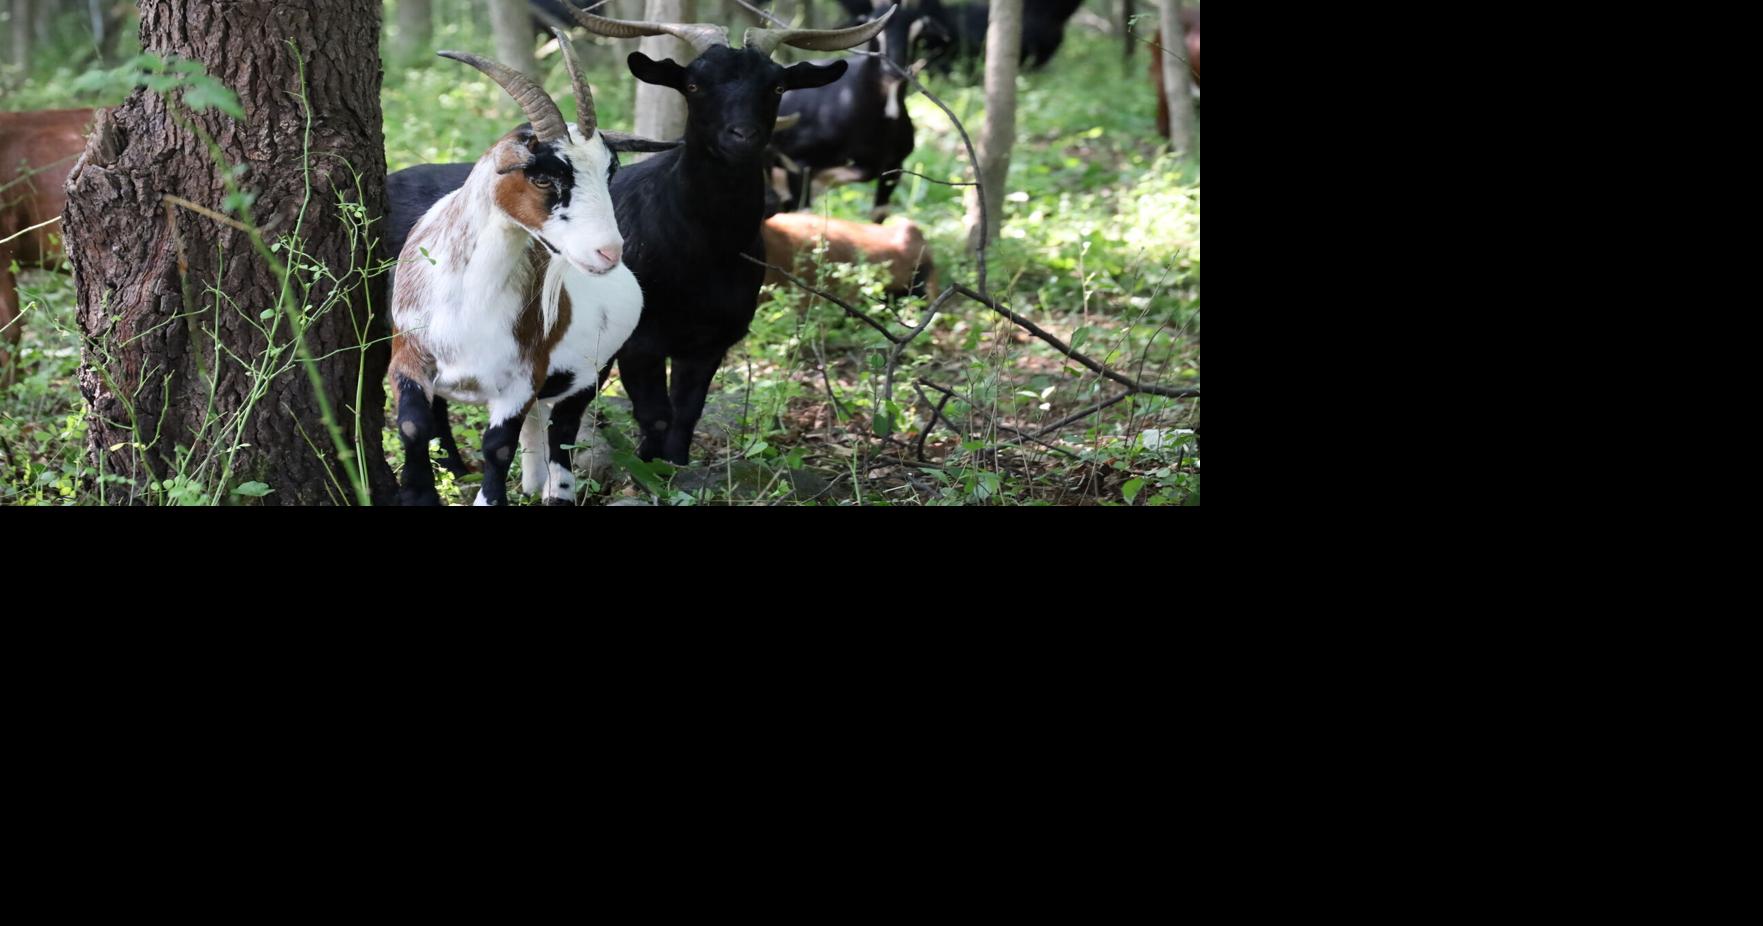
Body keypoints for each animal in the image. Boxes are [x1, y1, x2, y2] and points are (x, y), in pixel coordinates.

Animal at [390, 39, 671, 506]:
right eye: (541, 177)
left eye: (610, 172)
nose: (608, 252)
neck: (468, 302)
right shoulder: (410, 356)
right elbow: (414, 426)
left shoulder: (520, 378)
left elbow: (497, 446)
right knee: (540, 420)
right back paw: (534, 480)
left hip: (592, 370)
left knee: (564, 429)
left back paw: (556, 491)